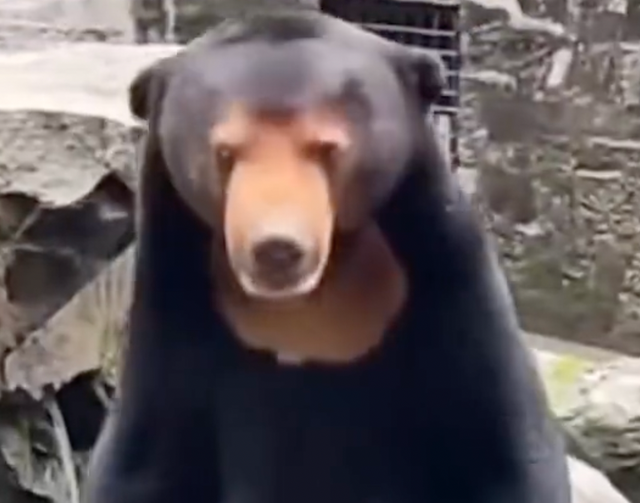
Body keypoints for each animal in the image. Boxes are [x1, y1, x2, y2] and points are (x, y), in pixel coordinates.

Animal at [83, 11, 571, 503]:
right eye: (224, 153)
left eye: (327, 149)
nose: (277, 249)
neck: (309, 307)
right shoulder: (172, 312)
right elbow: (141, 468)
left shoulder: (450, 283)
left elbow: (506, 454)